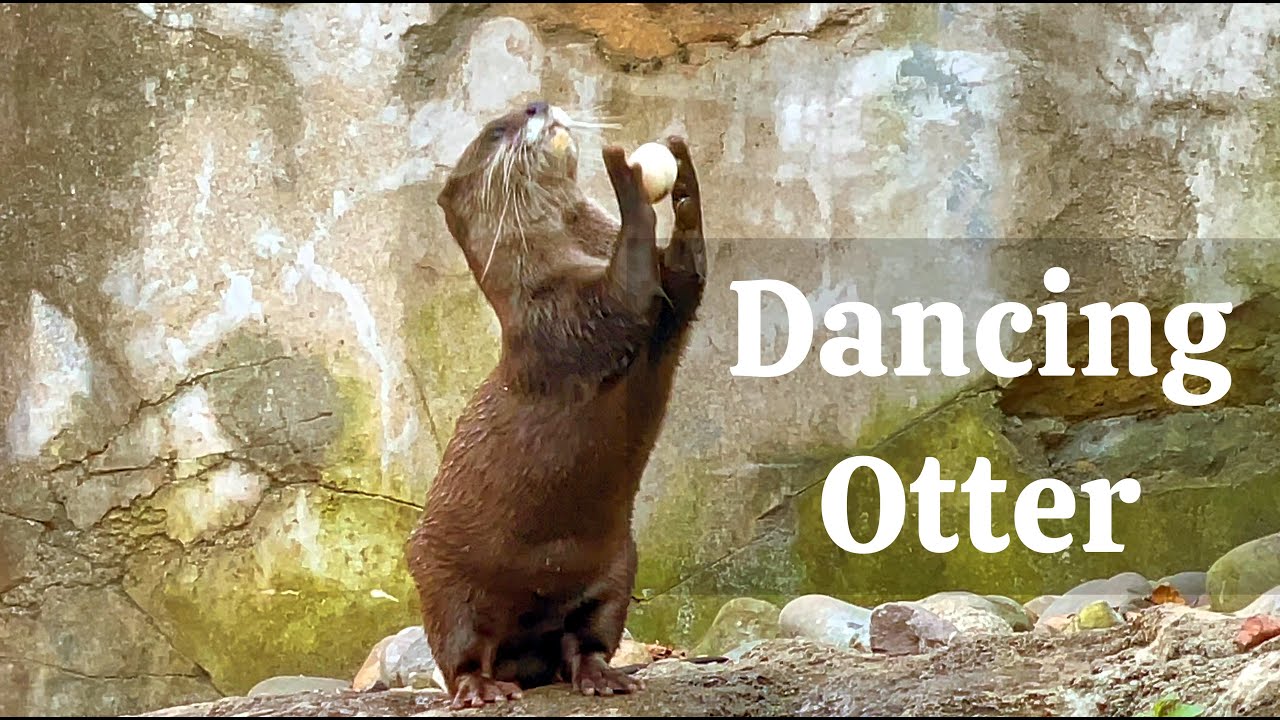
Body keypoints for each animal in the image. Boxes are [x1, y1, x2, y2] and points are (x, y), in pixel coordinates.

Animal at [406, 99, 706, 710]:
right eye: (497, 130)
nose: (536, 105)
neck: (569, 254)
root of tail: (522, 661)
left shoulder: (666, 310)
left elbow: (685, 278)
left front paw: (684, 186)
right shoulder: (563, 319)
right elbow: (626, 292)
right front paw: (625, 177)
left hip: (617, 569)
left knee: (584, 639)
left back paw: (601, 676)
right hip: (439, 574)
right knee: (459, 654)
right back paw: (483, 689)